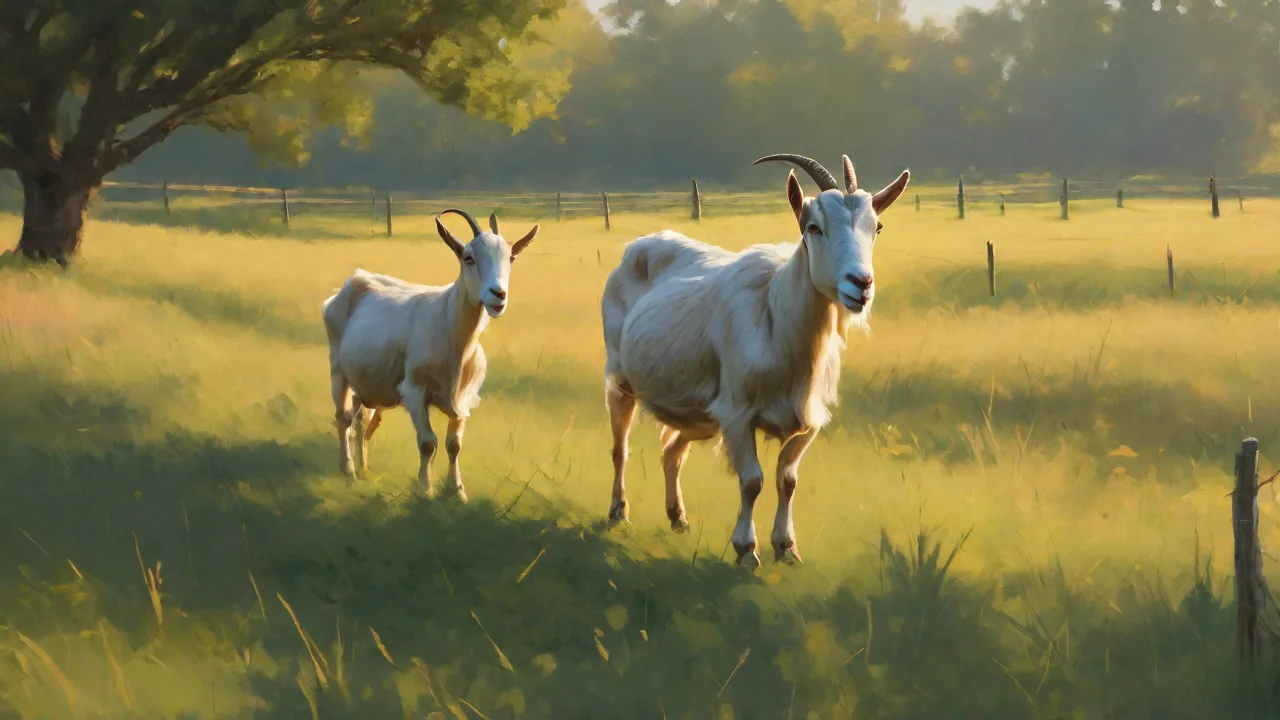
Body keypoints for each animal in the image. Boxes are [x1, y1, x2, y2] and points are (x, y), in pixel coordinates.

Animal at [322, 209, 539, 499]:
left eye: (511, 258)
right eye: (468, 258)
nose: (498, 295)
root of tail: (353, 281)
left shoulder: (462, 401)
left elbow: (454, 445)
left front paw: (457, 492)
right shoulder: (414, 392)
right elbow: (427, 443)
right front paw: (426, 489)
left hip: (365, 380)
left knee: (361, 422)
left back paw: (364, 468)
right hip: (337, 369)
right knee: (343, 419)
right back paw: (348, 470)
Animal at [600, 153, 910, 569]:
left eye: (876, 226)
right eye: (813, 227)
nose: (860, 284)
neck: (778, 318)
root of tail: (637, 247)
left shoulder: (809, 421)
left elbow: (787, 481)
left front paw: (787, 548)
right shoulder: (737, 414)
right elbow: (752, 481)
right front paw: (747, 551)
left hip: (698, 413)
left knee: (672, 452)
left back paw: (678, 518)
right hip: (619, 378)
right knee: (621, 447)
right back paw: (618, 512)